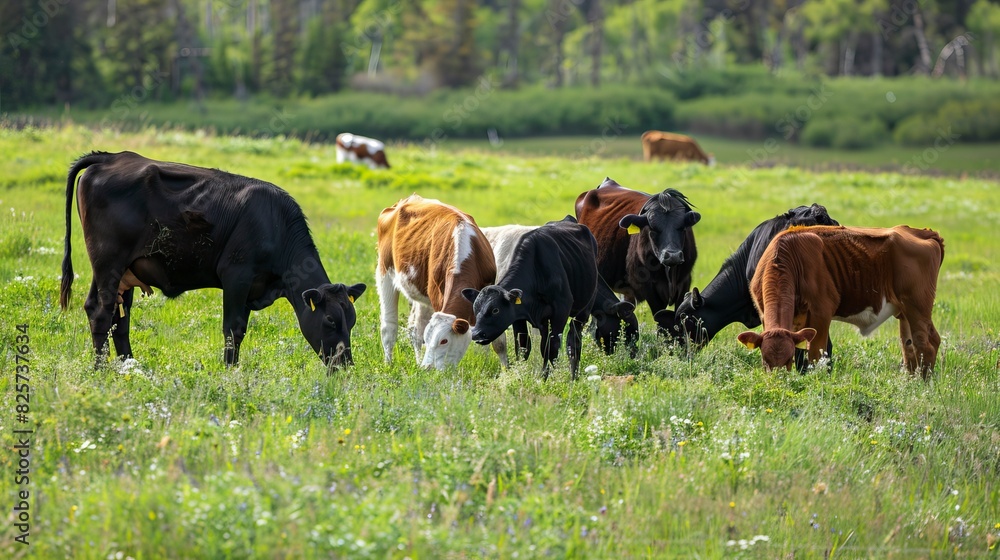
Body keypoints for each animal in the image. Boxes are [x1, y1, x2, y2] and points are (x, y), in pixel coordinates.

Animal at [60, 151, 367, 368]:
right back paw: (101, 370)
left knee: (115, 316)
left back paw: (129, 367)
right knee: (102, 313)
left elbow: (239, 330)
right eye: (329, 320)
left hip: (121, 270)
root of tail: (110, 157)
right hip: (108, 261)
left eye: (351, 320)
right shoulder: (236, 276)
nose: (345, 365)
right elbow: (233, 329)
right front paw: (229, 371)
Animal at [376, 194, 504, 370]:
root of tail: (405, 200)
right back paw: (389, 365)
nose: (427, 369)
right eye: (429, 339)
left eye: (444, 341)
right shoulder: (437, 297)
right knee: (389, 327)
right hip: (385, 272)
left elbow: (498, 341)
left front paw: (506, 370)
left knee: (416, 329)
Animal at [463, 216, 598, 379]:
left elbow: (553, 348)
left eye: (495, 310)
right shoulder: (519, 316)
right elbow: (524, 348)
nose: (476, 334)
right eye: (475, 308)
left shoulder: (561, 310)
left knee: (573, 340)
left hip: (584, 309)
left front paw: (555, 378)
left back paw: (574, 377)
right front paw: (535, 377)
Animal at [575, 177, 699, 327]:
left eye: (682, 227)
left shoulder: (685, 282)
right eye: (652, 228)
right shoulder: (650, 289)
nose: (673, 256)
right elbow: (659, 317)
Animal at [736, 225, 944, 378]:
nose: (778, 381)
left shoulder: (821, 312)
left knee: (925, 344)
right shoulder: (766, 316)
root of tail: (922, 232)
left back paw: (922, 385)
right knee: (909, 346)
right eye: (765, 360)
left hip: (918, 306)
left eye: (787, 360)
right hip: (904, 311)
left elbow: (816, 355)